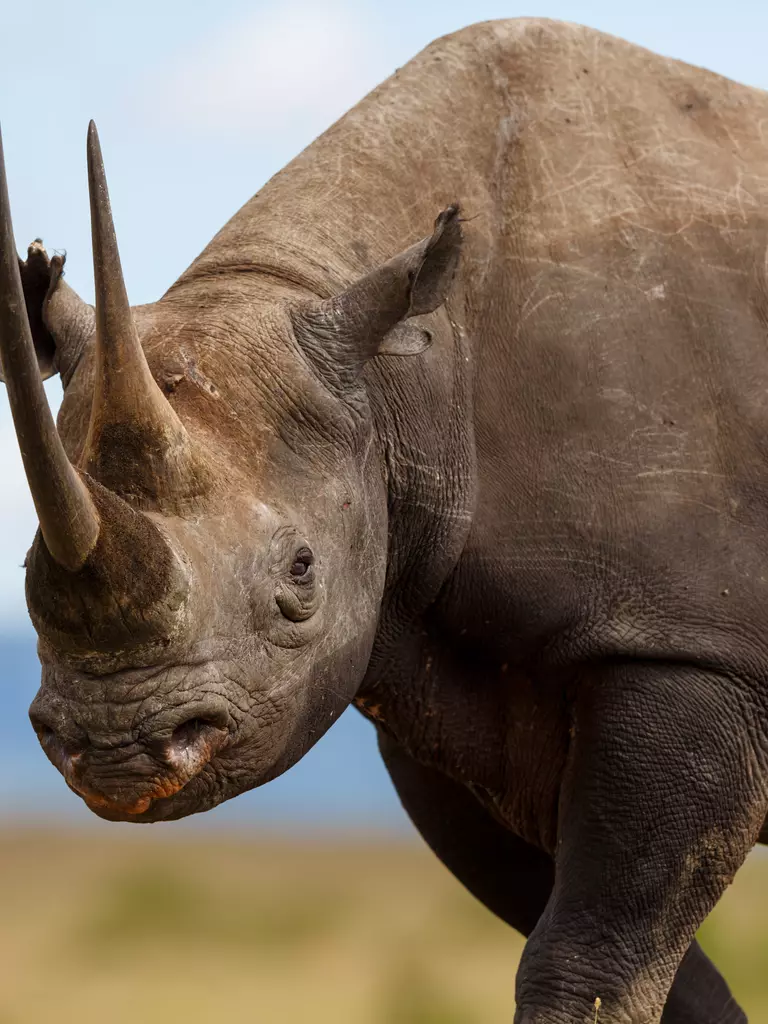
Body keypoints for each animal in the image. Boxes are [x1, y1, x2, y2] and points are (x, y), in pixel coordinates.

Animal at [1, 15, 767, 1023]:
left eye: (301, 574)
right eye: (24, 573)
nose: (116, 749)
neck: (400, 378)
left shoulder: (688, 640)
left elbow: (595, 955)